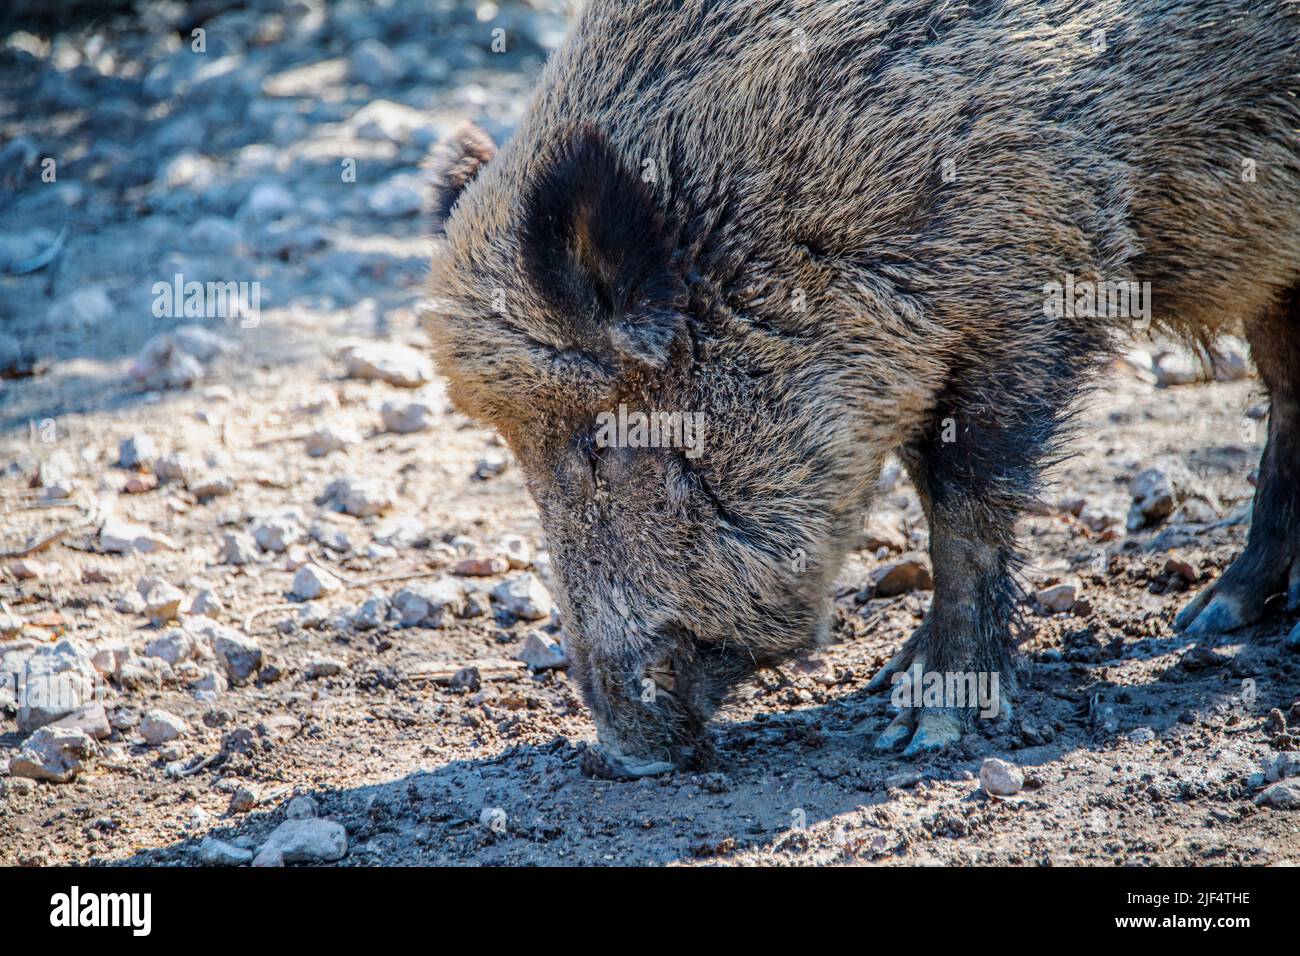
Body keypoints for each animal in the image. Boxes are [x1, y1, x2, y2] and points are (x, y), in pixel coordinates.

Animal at [423, 0, 1300, 774]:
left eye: (603, 440)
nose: (624, 755)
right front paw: (891, 680)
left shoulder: (1031, 292)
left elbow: (964, 509)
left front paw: (925, 729)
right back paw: (1212, 618)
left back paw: (1212, 622)